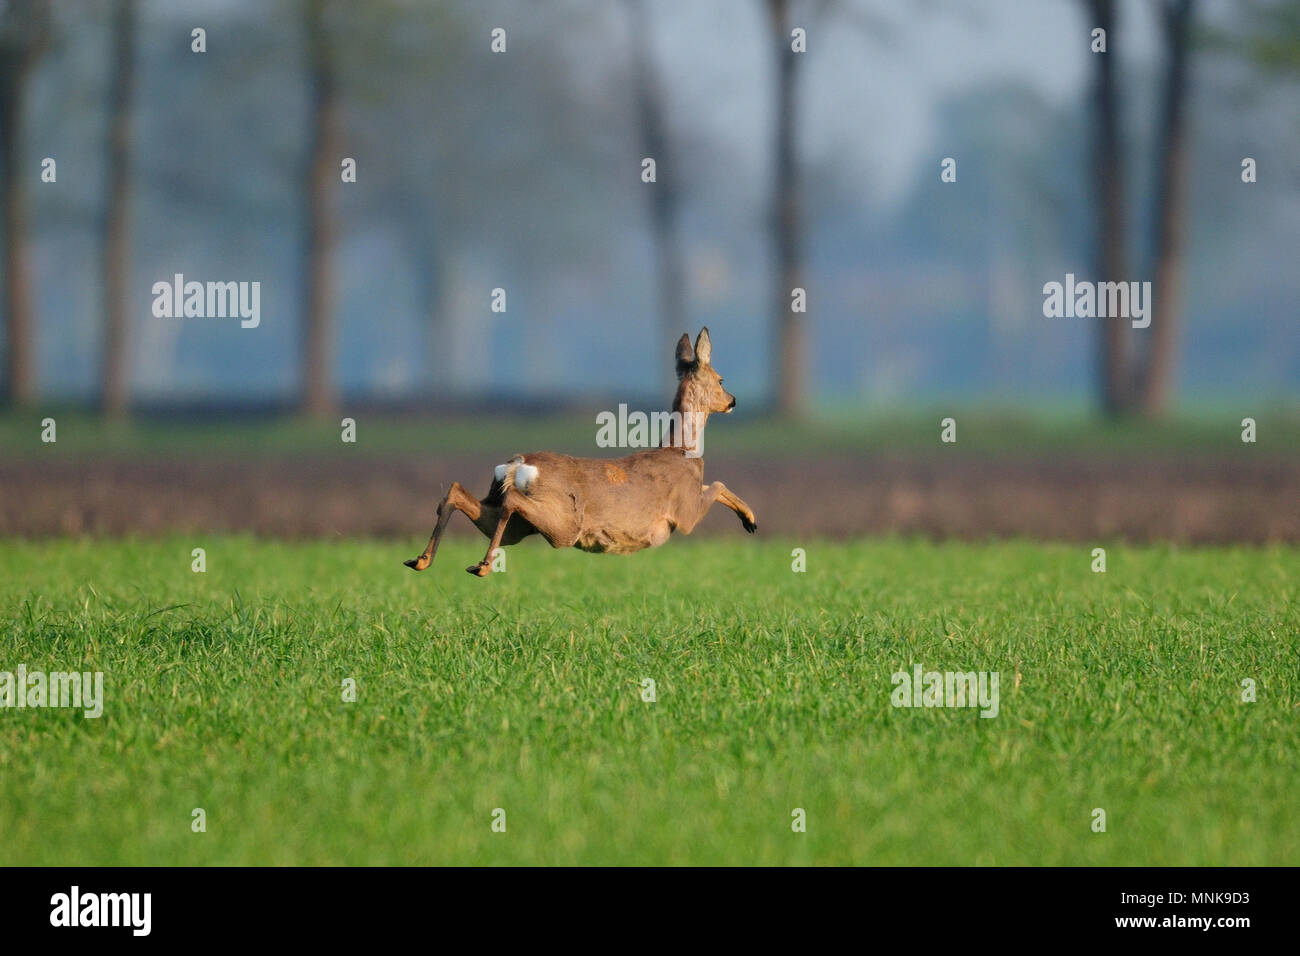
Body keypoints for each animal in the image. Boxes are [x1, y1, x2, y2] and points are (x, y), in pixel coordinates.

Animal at [405, 327, 758, 577]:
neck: (681, 450)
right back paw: (481, 565)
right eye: (721, 379)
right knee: (512, 501)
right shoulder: (685, 513)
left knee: (458, 491)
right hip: (564, 525)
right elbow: (717, 485)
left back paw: (423, 560)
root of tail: (519, 464)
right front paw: (750, 520)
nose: (733, 400)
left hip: (516, 524)